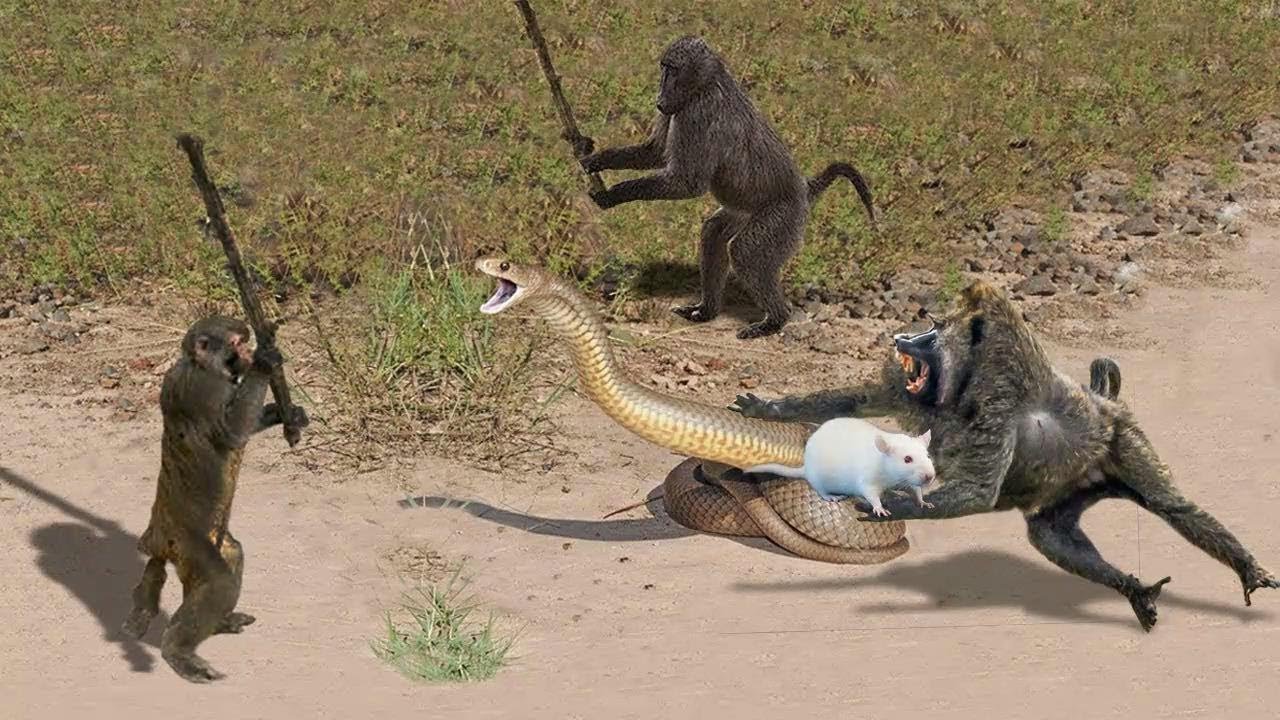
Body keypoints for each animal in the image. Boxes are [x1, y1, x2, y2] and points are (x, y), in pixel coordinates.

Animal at [120, 316, 309, 682]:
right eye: (237, 343)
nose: (247, 354)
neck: (198, 365)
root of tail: (157, 536)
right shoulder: (206, 388)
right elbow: (231, 431)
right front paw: (265, 363)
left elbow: (246, 427)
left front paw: (287, 413)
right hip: (184, 539)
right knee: (218, 581)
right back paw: (177, 650)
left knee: (232, 554)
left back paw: (217, 623)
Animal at [576, 35, 877, 340]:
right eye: (663, 68)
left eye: (671, 69)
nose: (659, 99)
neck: (709, 81)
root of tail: (806, 188)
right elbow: (655, 152)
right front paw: (592, 157)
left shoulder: (698, 113)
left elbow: (688, 183)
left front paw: (610, 195)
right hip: (743, 211)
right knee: (713, 233)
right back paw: (705, 311)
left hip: (782, 216)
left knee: (746, 253)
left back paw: (774, 321)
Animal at [730, 281, 1278, 631]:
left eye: (935, 328)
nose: (903, 334)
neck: (964, 384)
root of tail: (1105, 407)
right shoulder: (911, 393)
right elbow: (856, 401)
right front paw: (766, 407)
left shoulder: (997, 400)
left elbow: (977, 492)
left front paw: (894, 504)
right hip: (1073, 487)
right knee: (1050, 535)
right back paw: (1131, 588)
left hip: (1124, 438)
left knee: (1170, 505)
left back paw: (1240, 565)